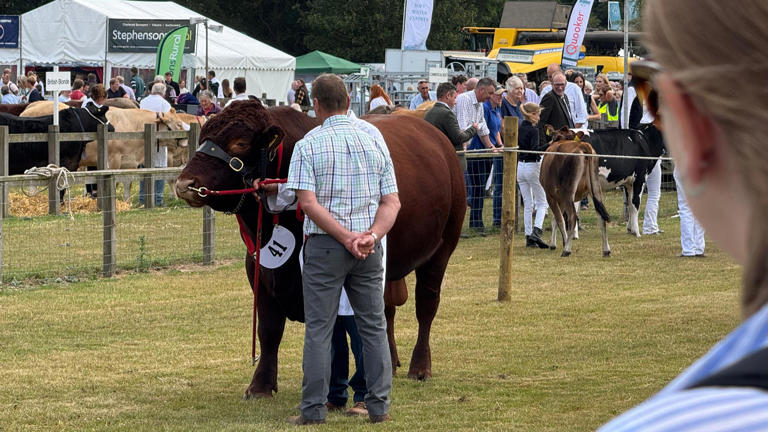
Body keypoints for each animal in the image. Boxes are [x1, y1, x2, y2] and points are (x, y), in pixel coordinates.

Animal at [175, 101, 466, 397]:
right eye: (203, 138)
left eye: (240, 143)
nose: (185, 184)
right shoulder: (259, 273)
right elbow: (269, 330)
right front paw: (260, 385)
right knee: (386, 310)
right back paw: (390, 362)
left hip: (443, 246)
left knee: (426, 305)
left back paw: (420, 367)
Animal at [540, 126, 612, 257]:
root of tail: (583, 145)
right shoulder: (560, 198)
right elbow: (555, 219)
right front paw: (554, 243)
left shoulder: (550, 195)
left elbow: (559, 219)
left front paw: (563, 242)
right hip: (595, 188)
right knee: (600, 217)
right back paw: (606, 250)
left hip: (569, 191)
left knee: (572, 216)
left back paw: (566, 250)